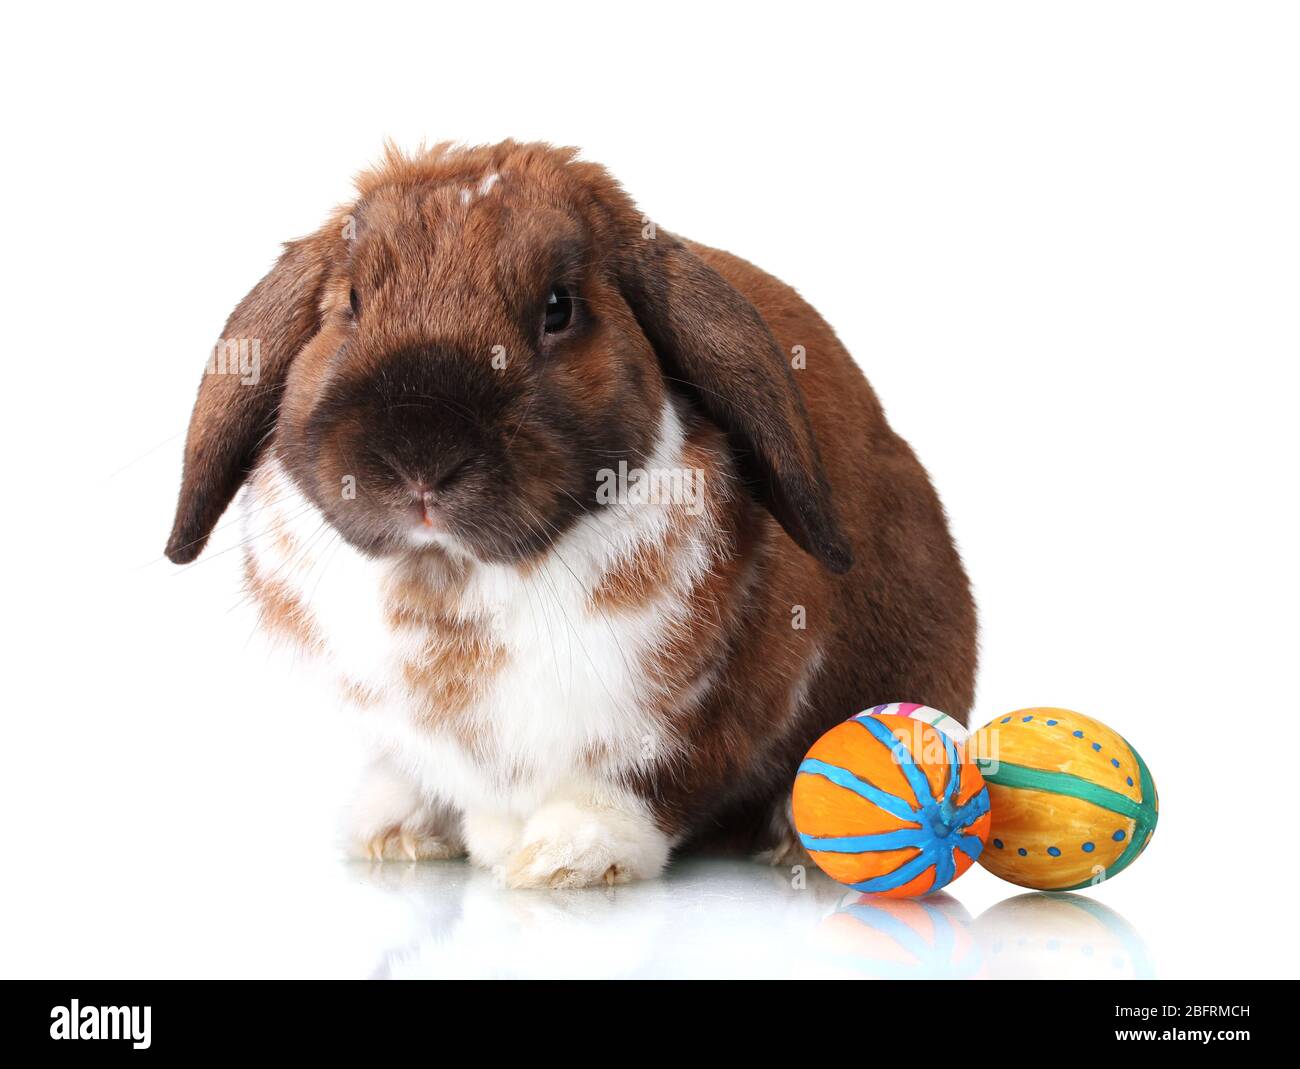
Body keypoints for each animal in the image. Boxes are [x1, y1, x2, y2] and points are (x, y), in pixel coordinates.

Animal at [165, 141, 977, 889]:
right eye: (352, 303)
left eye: (559, 307)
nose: (422, 459)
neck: (454, 583)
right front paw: (399, 833)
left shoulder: (709, 709)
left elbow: (647, 785)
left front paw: (563, 856)